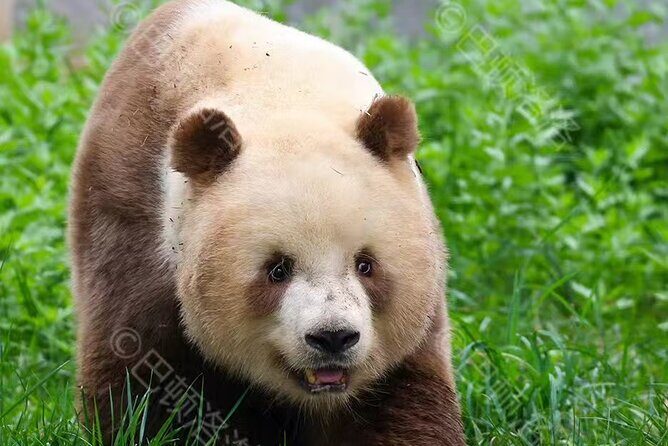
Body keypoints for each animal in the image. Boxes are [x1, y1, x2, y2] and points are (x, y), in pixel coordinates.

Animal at [69, 0, 465, 444]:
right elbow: (146, 371)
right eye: (277, 269)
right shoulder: (136, 208)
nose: (333, 337)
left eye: (366, 265)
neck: (284, 98)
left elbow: (401, 397)